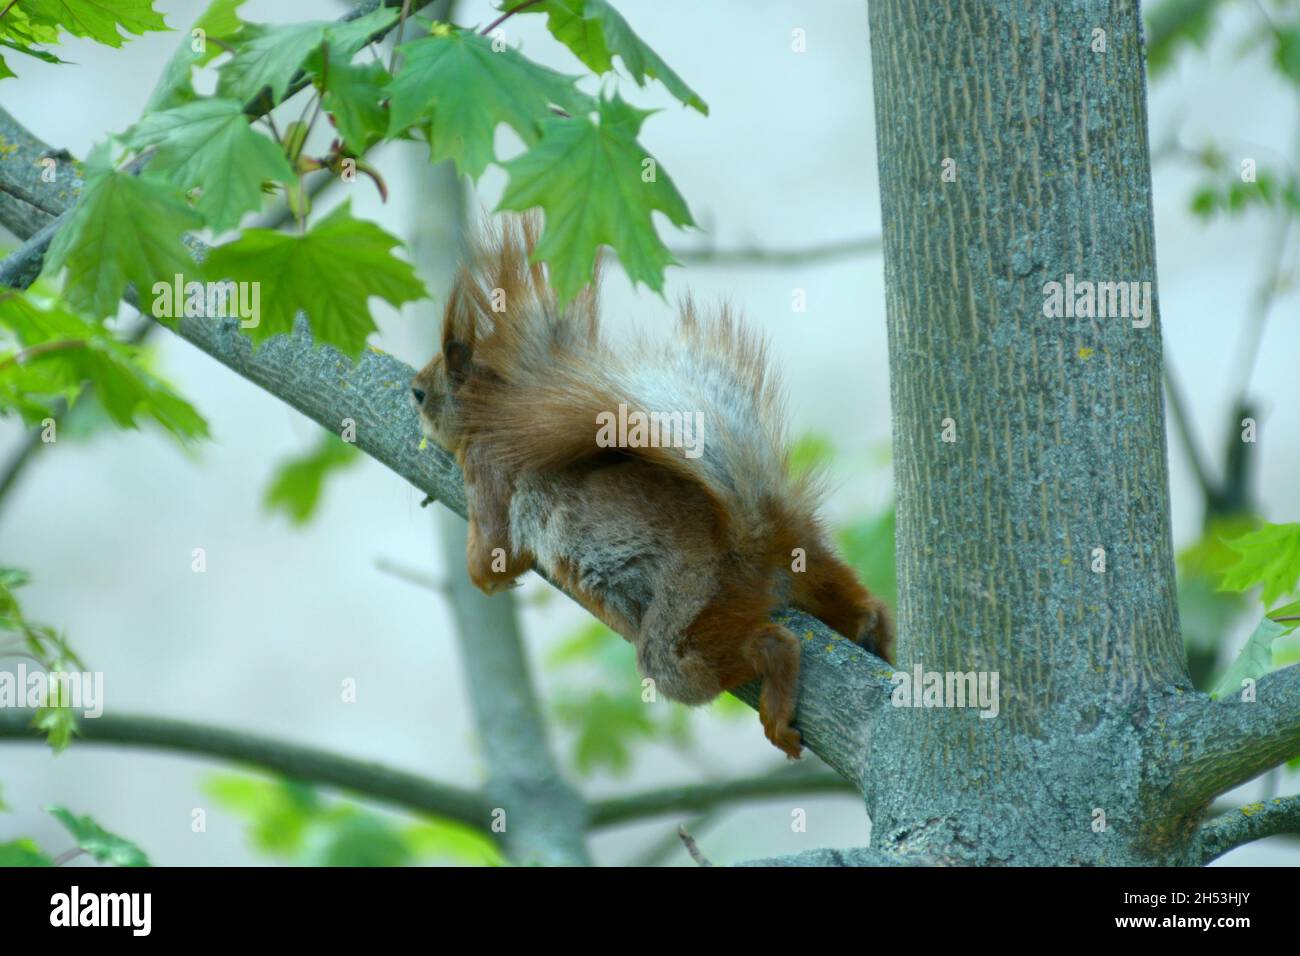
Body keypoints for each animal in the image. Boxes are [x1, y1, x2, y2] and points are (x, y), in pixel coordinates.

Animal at [411, 214, 894, 758]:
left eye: (424, 393)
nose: (410, 392)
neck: (493, 411)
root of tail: (752, 539)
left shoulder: (487, 468)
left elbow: (495, 546)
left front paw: (485, 578)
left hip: (689, 609)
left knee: (739, 650)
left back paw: (776, 692)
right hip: (805, 561)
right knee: (851, 598)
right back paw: (873, 629)